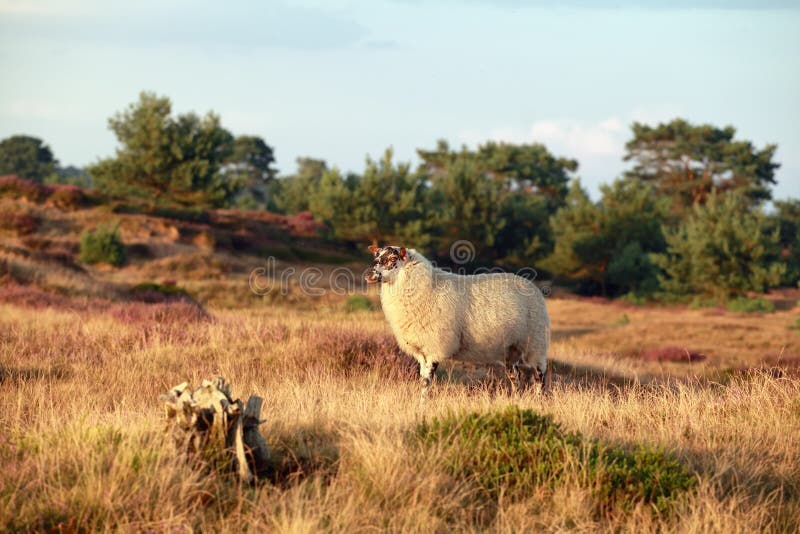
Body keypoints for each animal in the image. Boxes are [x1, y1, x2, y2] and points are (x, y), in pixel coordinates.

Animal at [364, 245, 551, 398]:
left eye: (392, 259)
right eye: (376, 257)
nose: (368, 274)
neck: (428, 287)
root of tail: (531, 284)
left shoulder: (434, 347)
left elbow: (427, 382)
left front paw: (422, 405)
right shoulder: (423, 351)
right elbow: (422, 380)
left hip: (536, 343)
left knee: (539, 375)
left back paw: (539, 400)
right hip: (511, 349)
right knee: (515, 377)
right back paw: (517, 400)